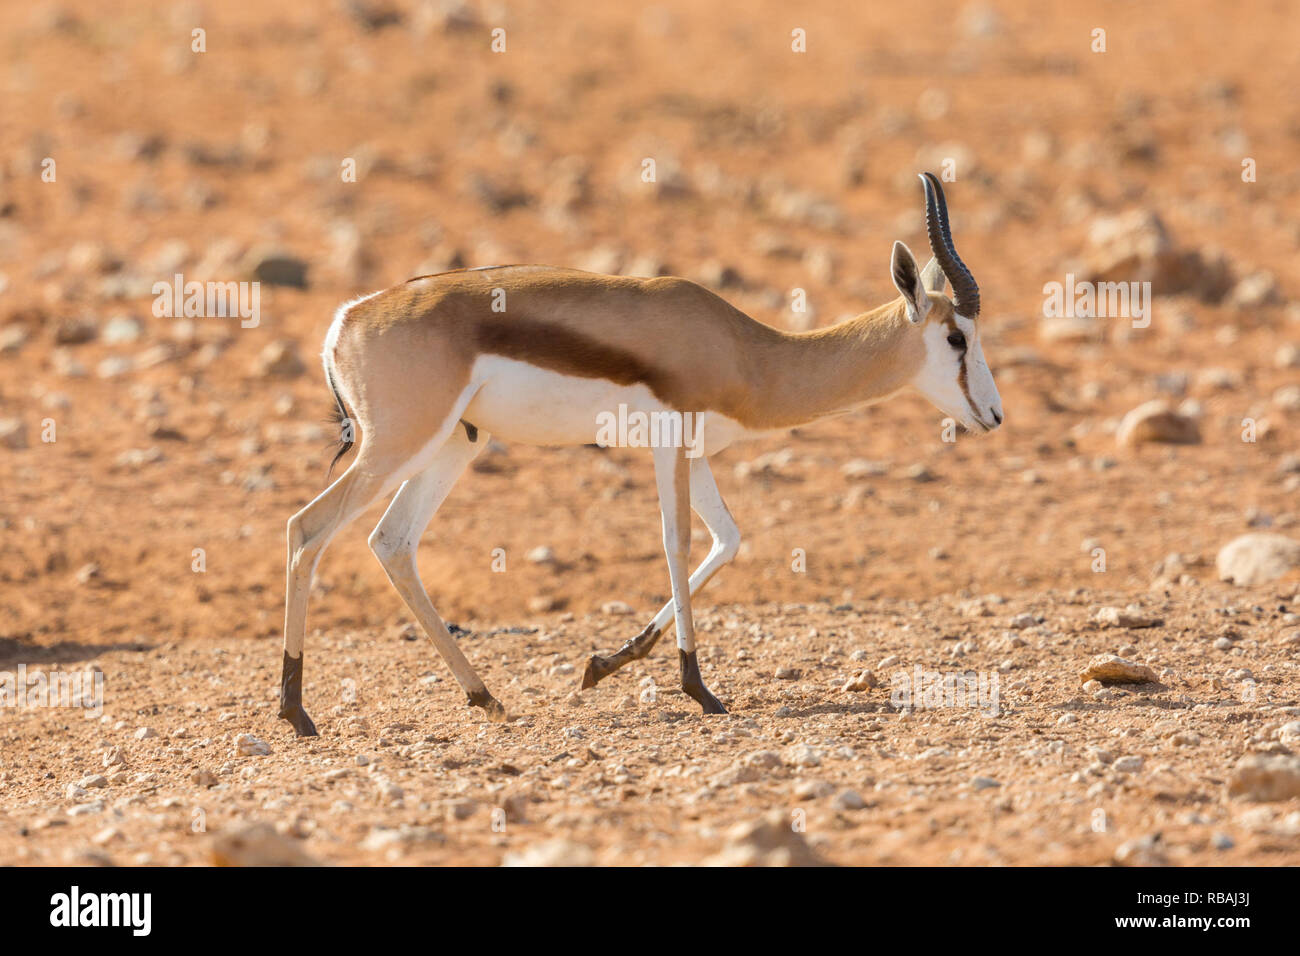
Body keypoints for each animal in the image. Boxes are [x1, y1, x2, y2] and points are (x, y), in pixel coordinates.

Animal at [278, 172, 1002, 736]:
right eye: (957, 337)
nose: (993, 415)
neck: (750, 353)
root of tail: (348, 318)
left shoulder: (696, 452)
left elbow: (727, 540)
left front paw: (605, 665)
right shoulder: (668, 442)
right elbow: (677, 541)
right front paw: (700, 691)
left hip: (450, 446)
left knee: (392, 543)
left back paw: (486, 698)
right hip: (397, 445)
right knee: (307, 528)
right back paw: (296, 712)